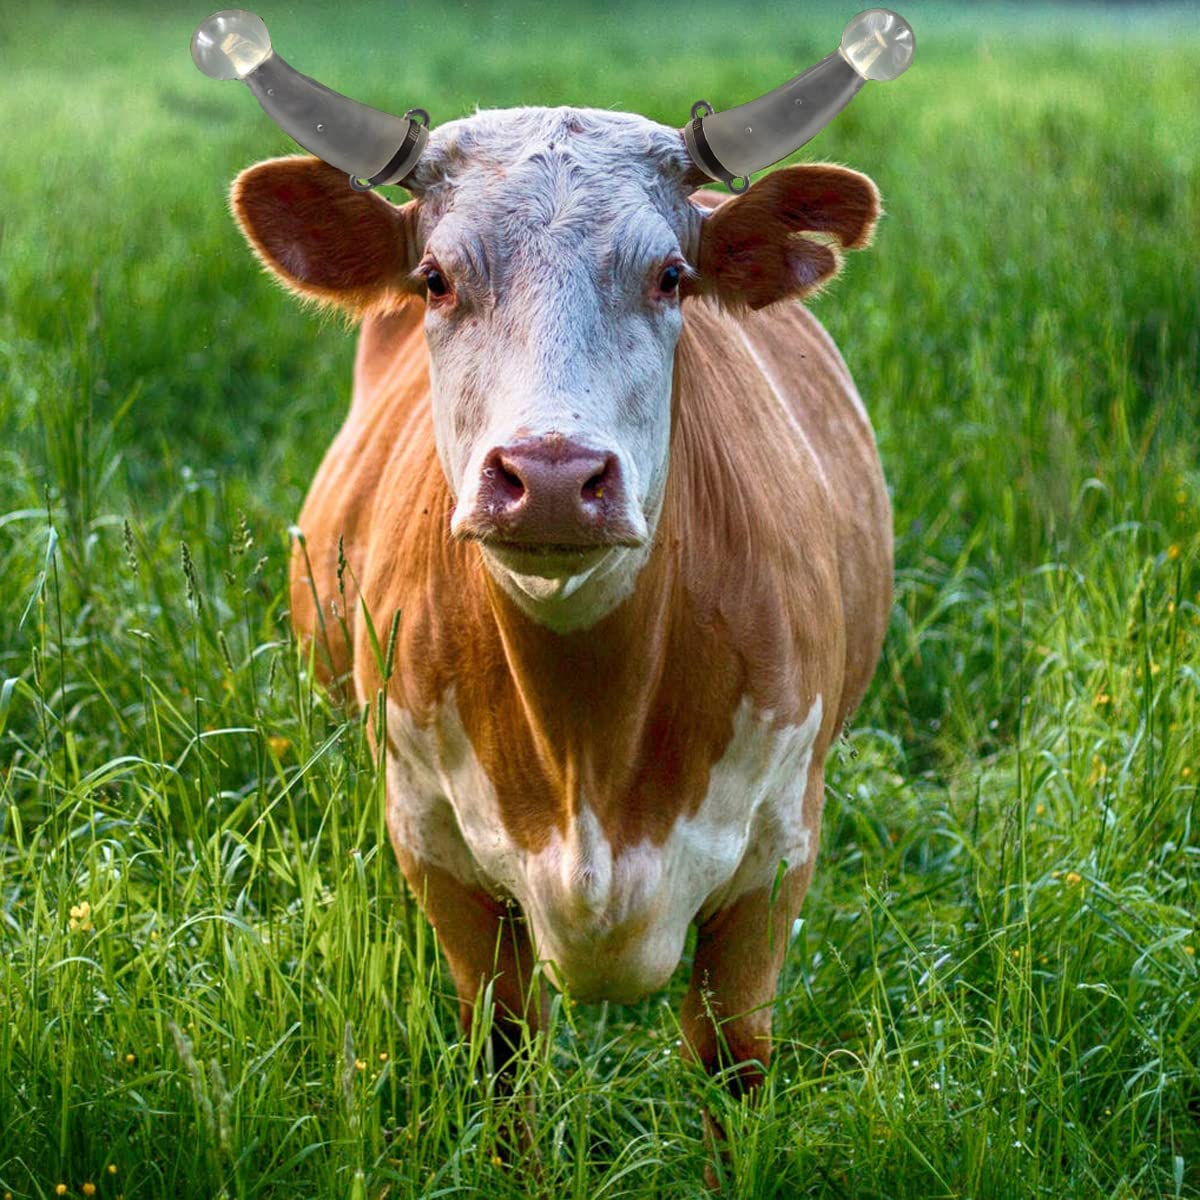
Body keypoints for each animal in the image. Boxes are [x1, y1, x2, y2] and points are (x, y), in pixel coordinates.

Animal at [232, 105, 892, 1161]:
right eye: (435, 278)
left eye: (672, 276)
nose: (549, 476)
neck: (589, 739)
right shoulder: (433, 845)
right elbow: (505, 1060)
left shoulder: (778, 853)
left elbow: (732, 1068)